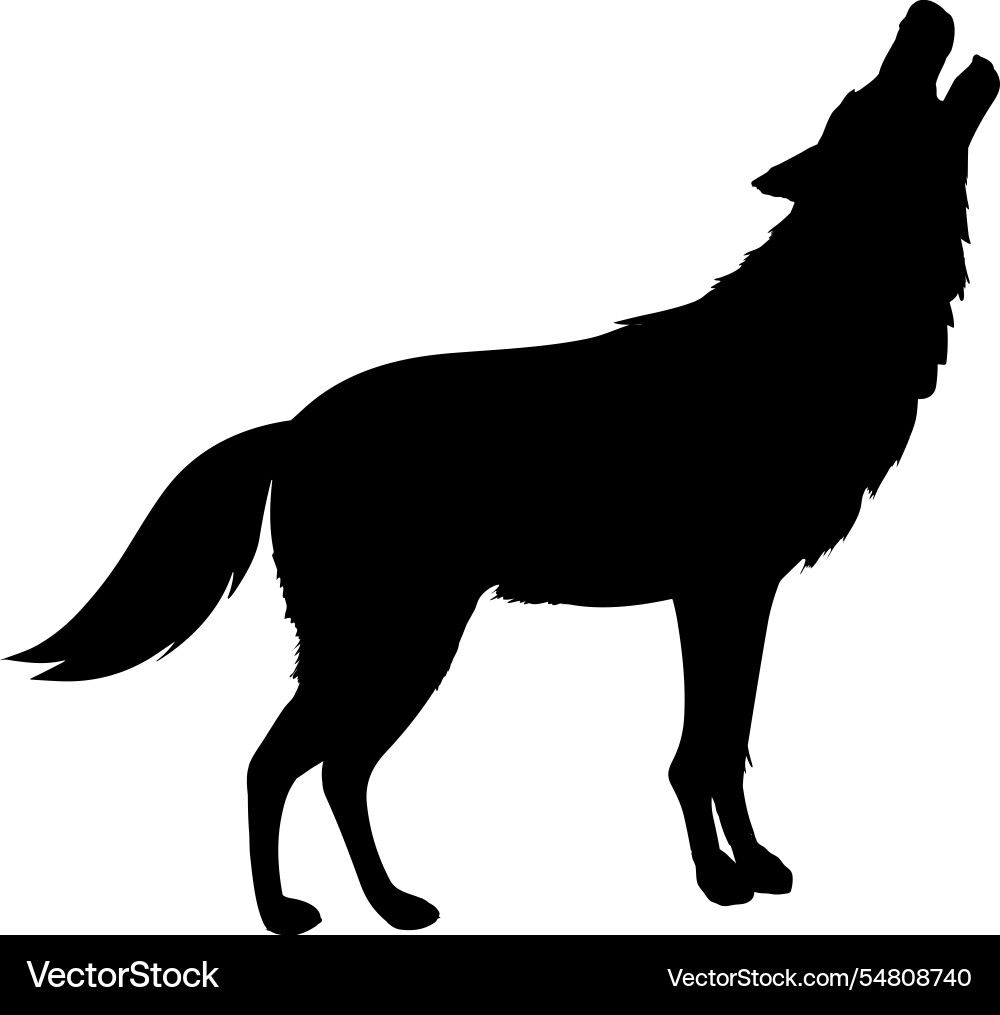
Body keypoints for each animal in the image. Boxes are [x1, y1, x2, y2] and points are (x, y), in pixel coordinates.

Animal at [9, 2, 997, 933]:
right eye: (871, 94)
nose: (922, 12)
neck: (813, 333)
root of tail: (291, 428)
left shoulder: (734, 596)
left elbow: (726, 740)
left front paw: (750, 867)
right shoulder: (724, 590)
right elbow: (703, 749)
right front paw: (721, 881)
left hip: (398, 646)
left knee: (334, 769)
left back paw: (391, 904)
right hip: (399, 641)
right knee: (278, 763)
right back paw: (288, 914)